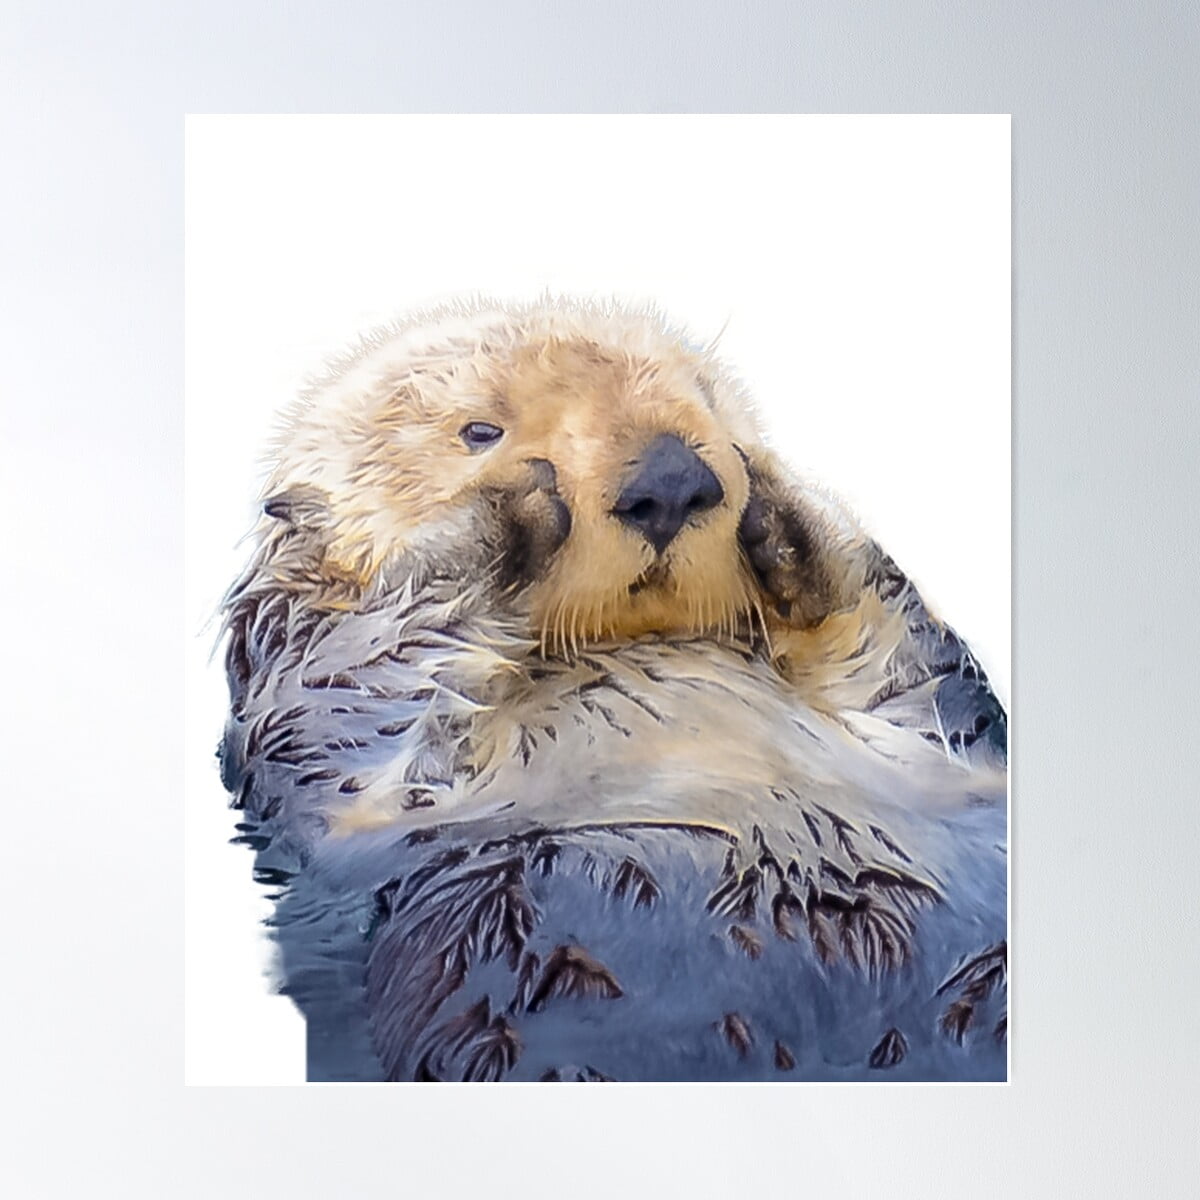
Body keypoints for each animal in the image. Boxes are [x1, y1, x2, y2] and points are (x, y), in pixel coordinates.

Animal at [219, 297, 1007, 1082]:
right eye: (479, 432)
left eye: (707, 402)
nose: (670, 477)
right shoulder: (319, 718)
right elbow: (371, 685)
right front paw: (505, 510)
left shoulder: (929, 729)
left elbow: (910, 664)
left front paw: (785, 512)